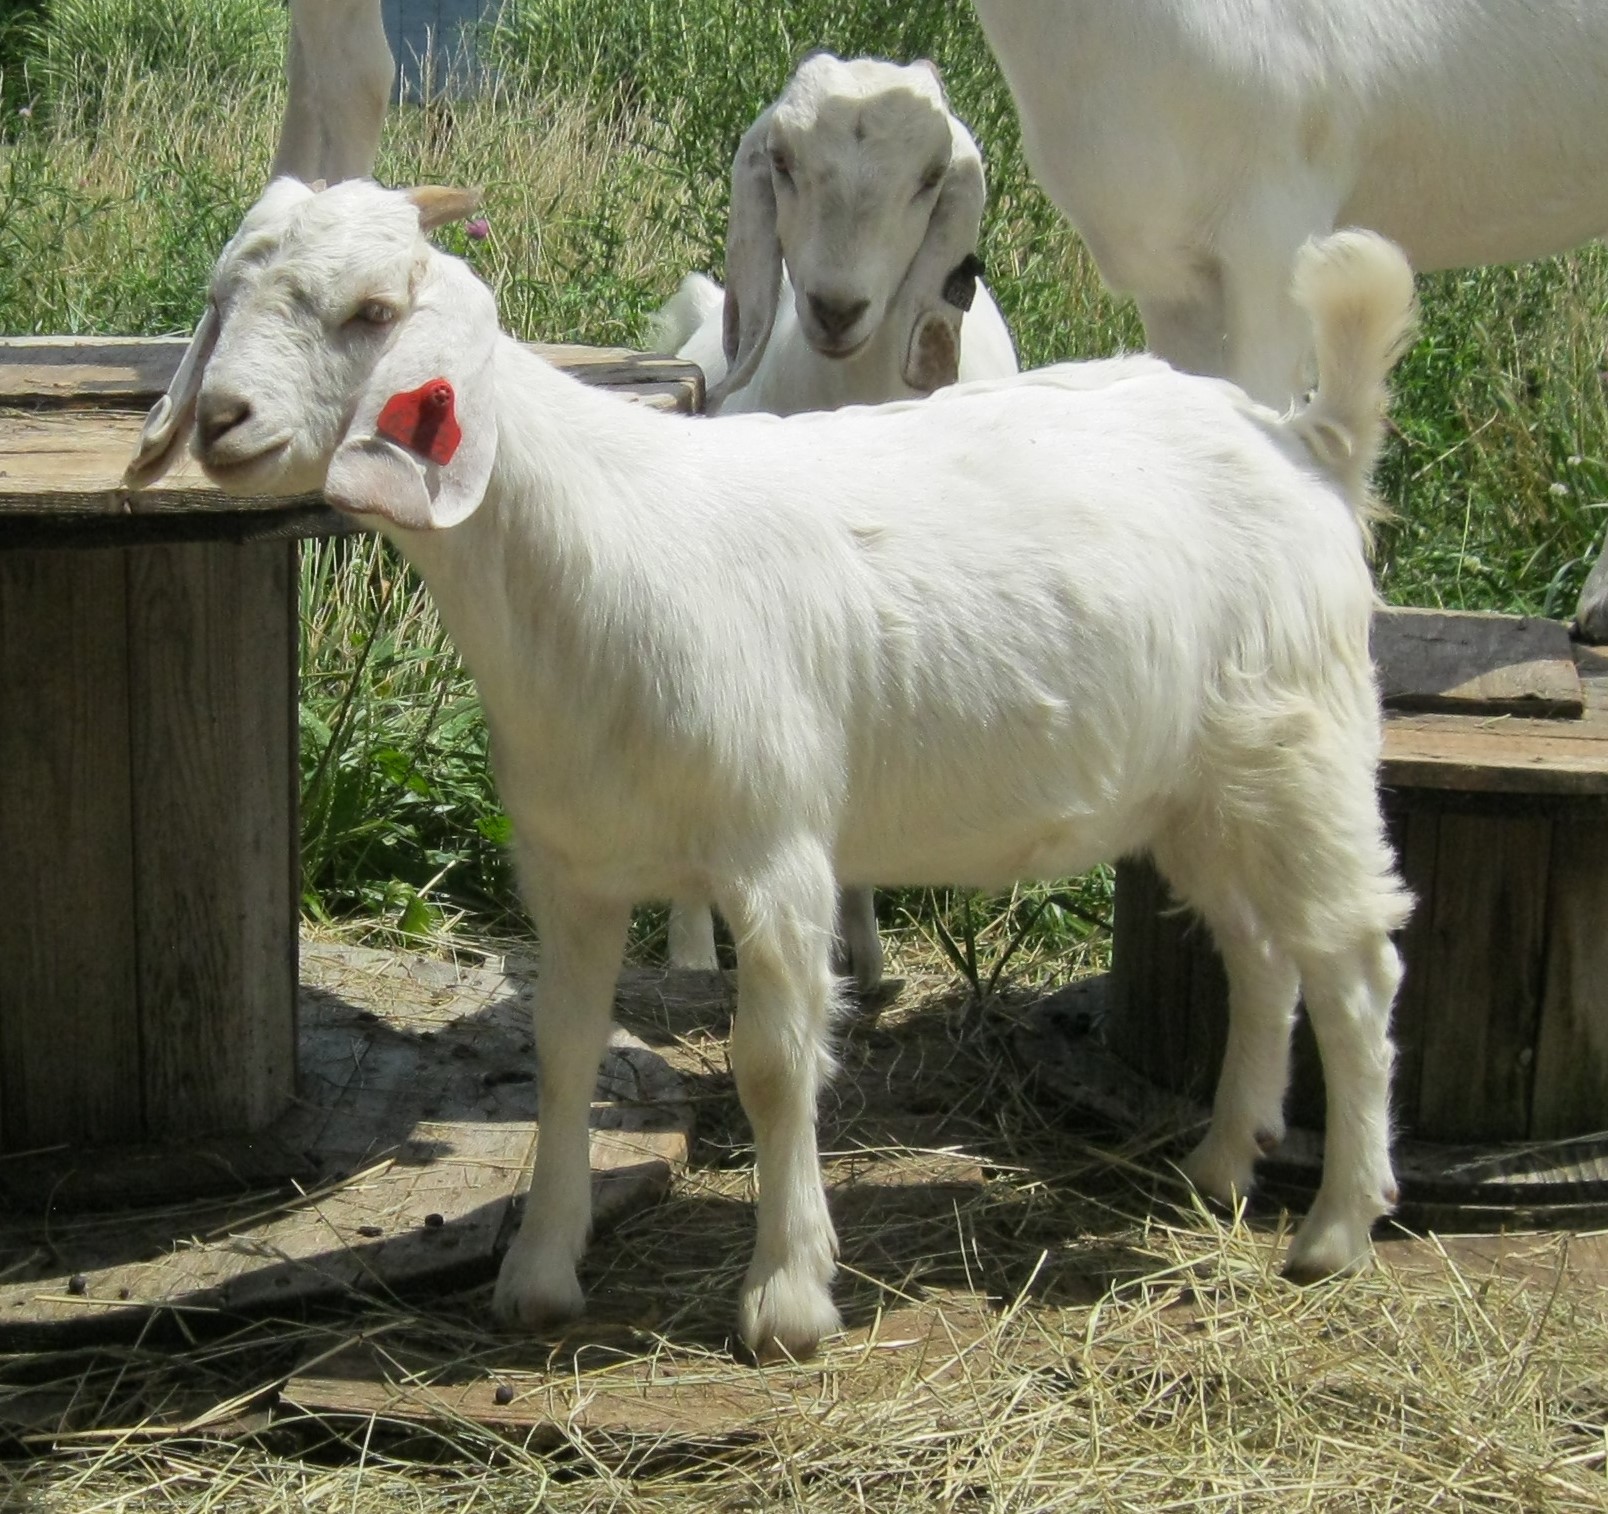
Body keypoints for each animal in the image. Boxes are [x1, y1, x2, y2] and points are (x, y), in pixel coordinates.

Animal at [125, 177, 1414, 1362]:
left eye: (374, 310)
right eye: (223, 298)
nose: (224, 419)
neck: (578, 559)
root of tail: (1310, 440)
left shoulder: (776, 851)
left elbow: (773, 1066)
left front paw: (788, 1296)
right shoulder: (572, 867)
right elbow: (563, 1050)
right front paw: (540, 1270)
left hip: (1308, 751)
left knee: (1354, 969)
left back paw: (1338, 1226)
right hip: (1206, 788)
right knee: (1262, 954)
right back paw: (1221, 1163)